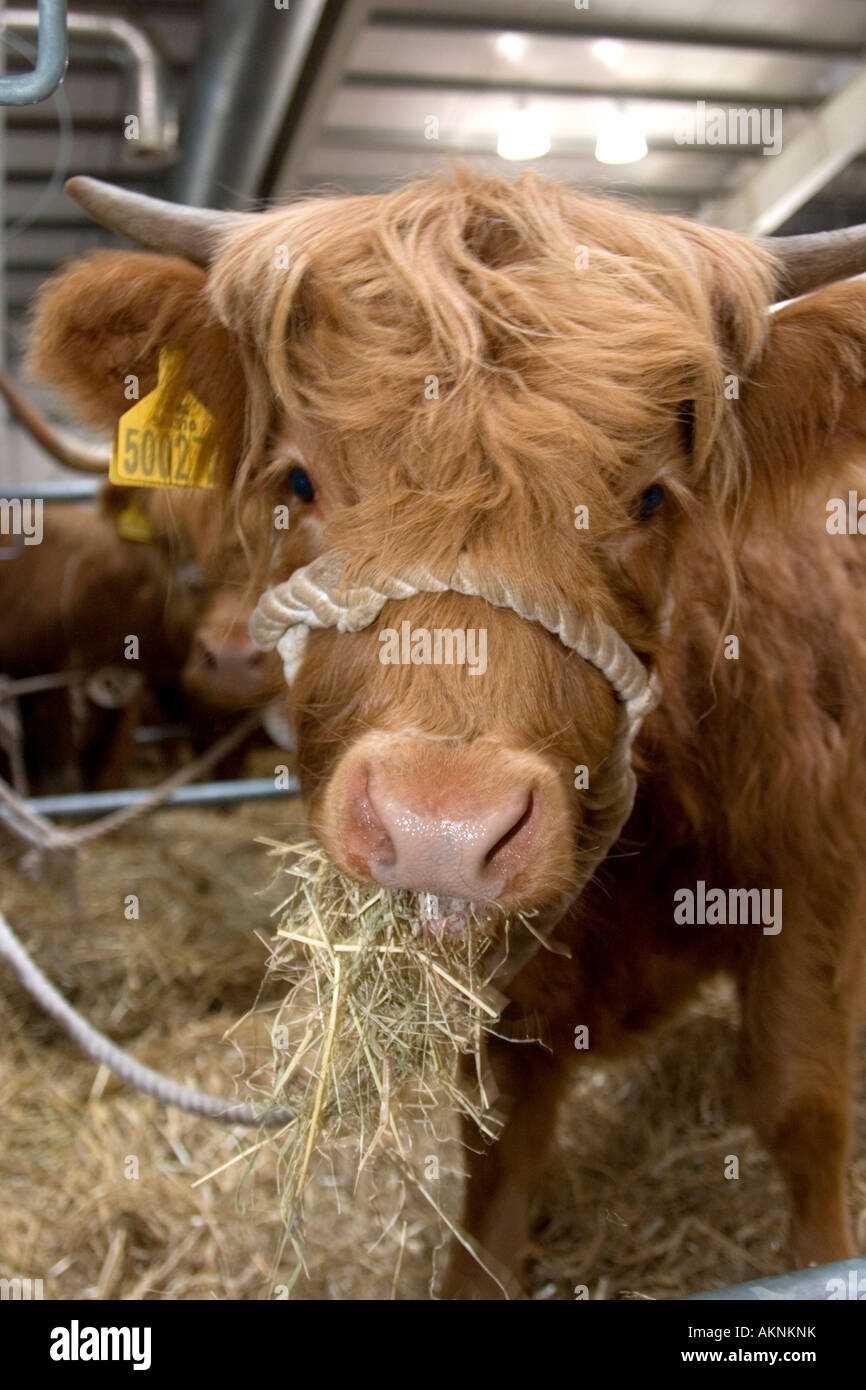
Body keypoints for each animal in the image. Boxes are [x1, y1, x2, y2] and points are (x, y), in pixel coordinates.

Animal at [25, 167, 866, 1297]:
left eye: (651, 495)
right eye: (296, 481)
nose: (441, 828)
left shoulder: (811, 872)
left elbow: (797, 1104)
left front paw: (821, 1253)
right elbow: (502, 1136)